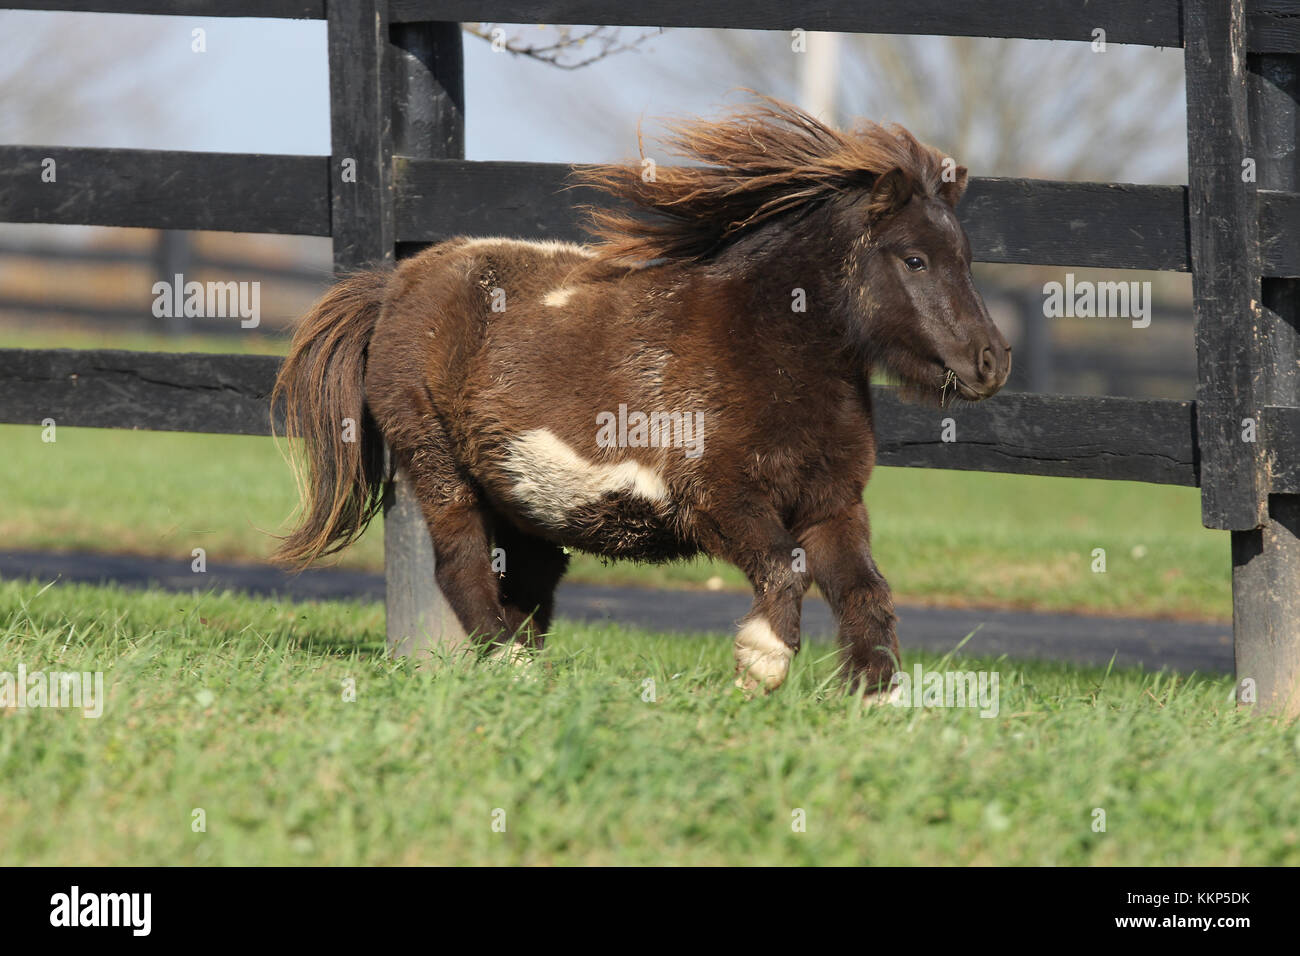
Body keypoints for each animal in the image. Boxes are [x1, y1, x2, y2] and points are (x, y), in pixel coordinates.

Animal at [270, 97, 1011, 695]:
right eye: (914, 259)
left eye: (966, 258)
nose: (991, 361)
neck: (763, 349)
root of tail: (396, 283)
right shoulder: (719, 501)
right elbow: (785, 567)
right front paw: (760, 662)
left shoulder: (831, 502)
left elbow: (864, 591)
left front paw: (873, 696)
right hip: (438, 464)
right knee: (462, 571)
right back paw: (514, 671)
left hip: (527, 503)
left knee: (526, 585)